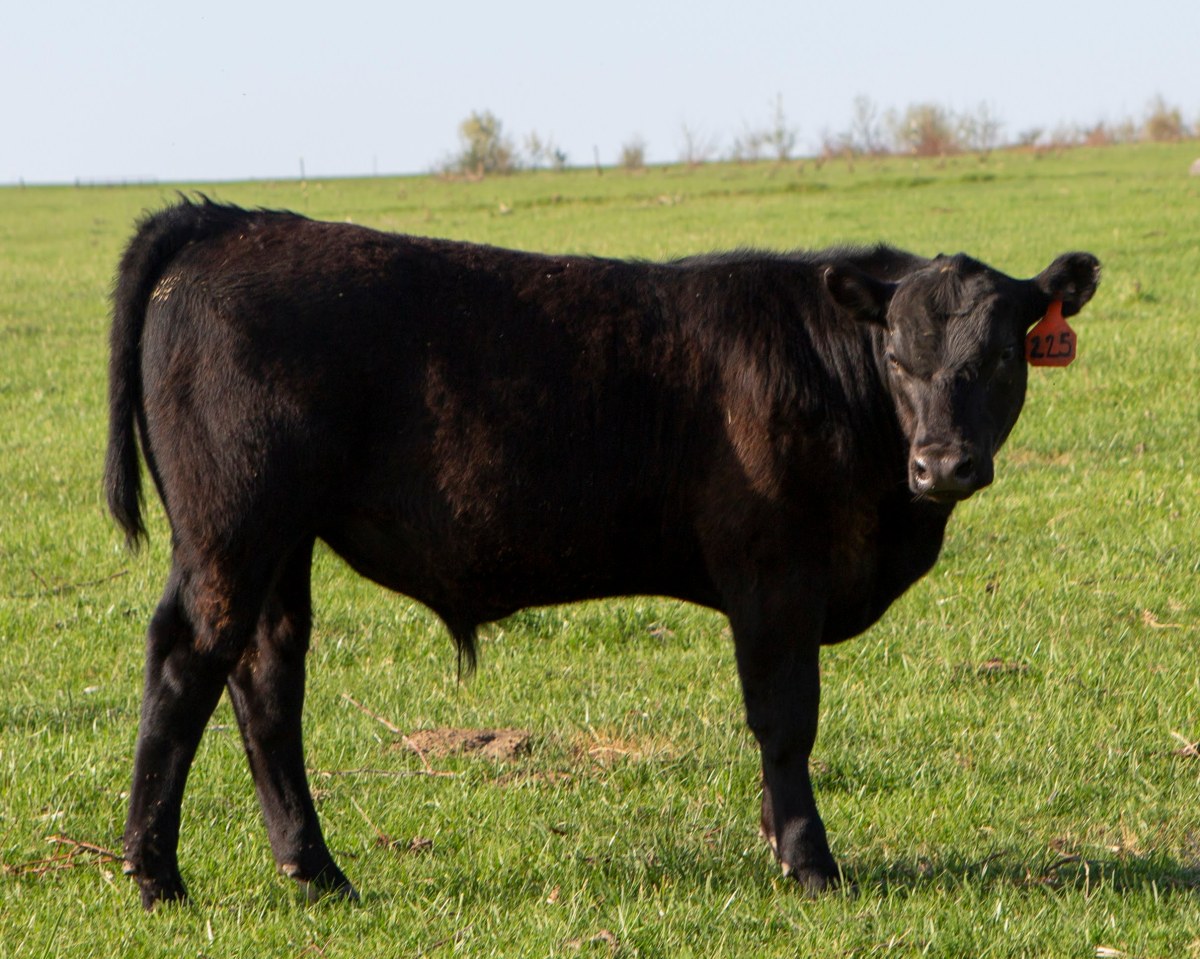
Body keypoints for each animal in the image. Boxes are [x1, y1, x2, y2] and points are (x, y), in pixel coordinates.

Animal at [105, 197, 1099, 908]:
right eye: (898, 356)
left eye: (1004, 355)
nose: (943, 463)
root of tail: (225, 219)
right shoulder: (775, 575)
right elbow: (786, 721)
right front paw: (808, 861)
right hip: (233, 527)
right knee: (186, 663)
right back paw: (157, 875)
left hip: (280, 544)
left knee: (267, 680)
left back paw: (317, 871)